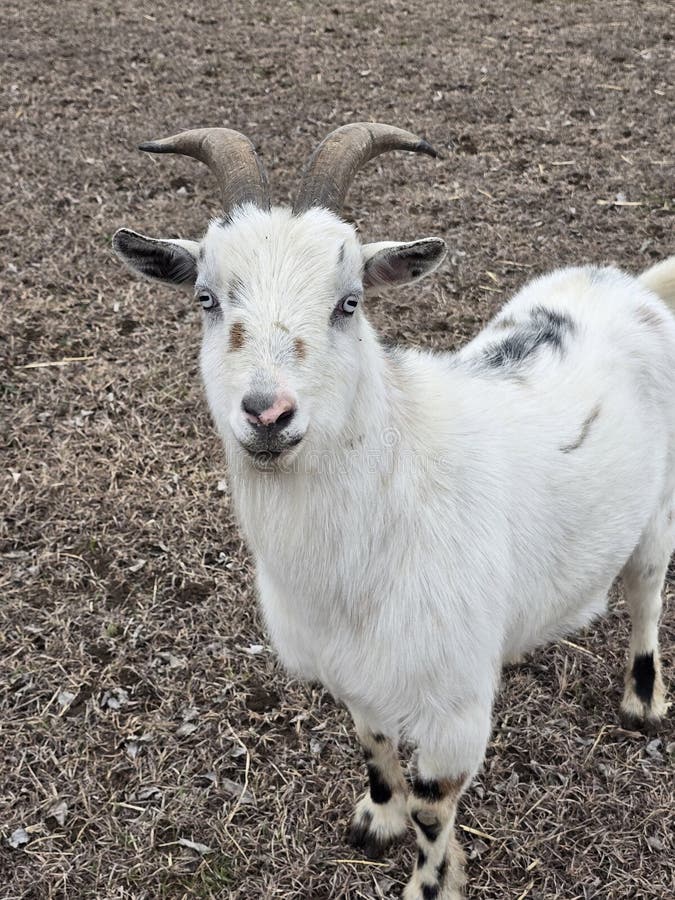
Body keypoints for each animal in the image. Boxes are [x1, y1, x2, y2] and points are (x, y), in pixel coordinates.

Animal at [113, 123, 675, 900]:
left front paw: (431, 884)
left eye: (349, 302)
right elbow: (373, 744)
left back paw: (641, 702)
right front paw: (376, 820)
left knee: (646, 595)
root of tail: (630, 288)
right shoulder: (353, 675)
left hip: (655, 512)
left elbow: (435, 807)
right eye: (205, 298)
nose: (266, 413)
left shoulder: (454, 709)